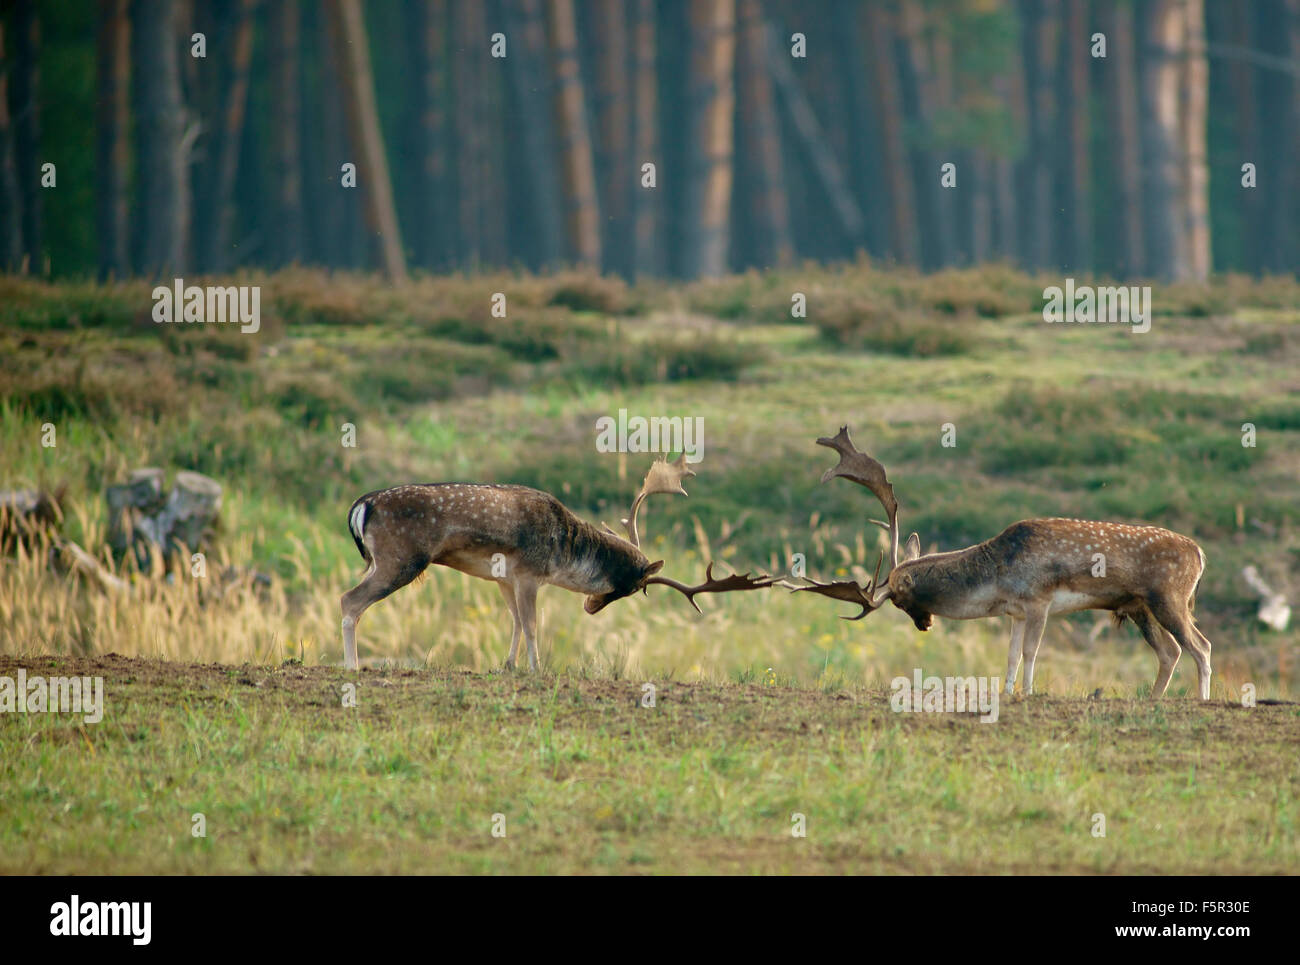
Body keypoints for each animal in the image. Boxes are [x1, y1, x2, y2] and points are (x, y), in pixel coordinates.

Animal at [341, 455, 773, 670]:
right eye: (639, 586)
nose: (591, 607)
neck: (564, 549)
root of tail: (362, 505)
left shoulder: (503, 579)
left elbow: (515, 621)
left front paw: (509, 665)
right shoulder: (530, 574)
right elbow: (532, 625)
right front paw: (537, 669)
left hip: (383, 560)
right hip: (401, 558)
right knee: (349, 600)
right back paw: (352, 666)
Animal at [789, 427, 1213, 700]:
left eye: (899, 598)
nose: (925, 625)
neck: (996, 576)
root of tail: (1200, 554)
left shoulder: (1040, 601)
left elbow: (1030, 653)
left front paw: (1027, 691)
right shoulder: (1016, 612)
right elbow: (1010, 654)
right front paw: (1008, 691)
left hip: (1169, 598)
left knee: (1202, 647)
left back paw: (1203, 699)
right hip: (1140, 607)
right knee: (1170, 653)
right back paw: (1154, 700)